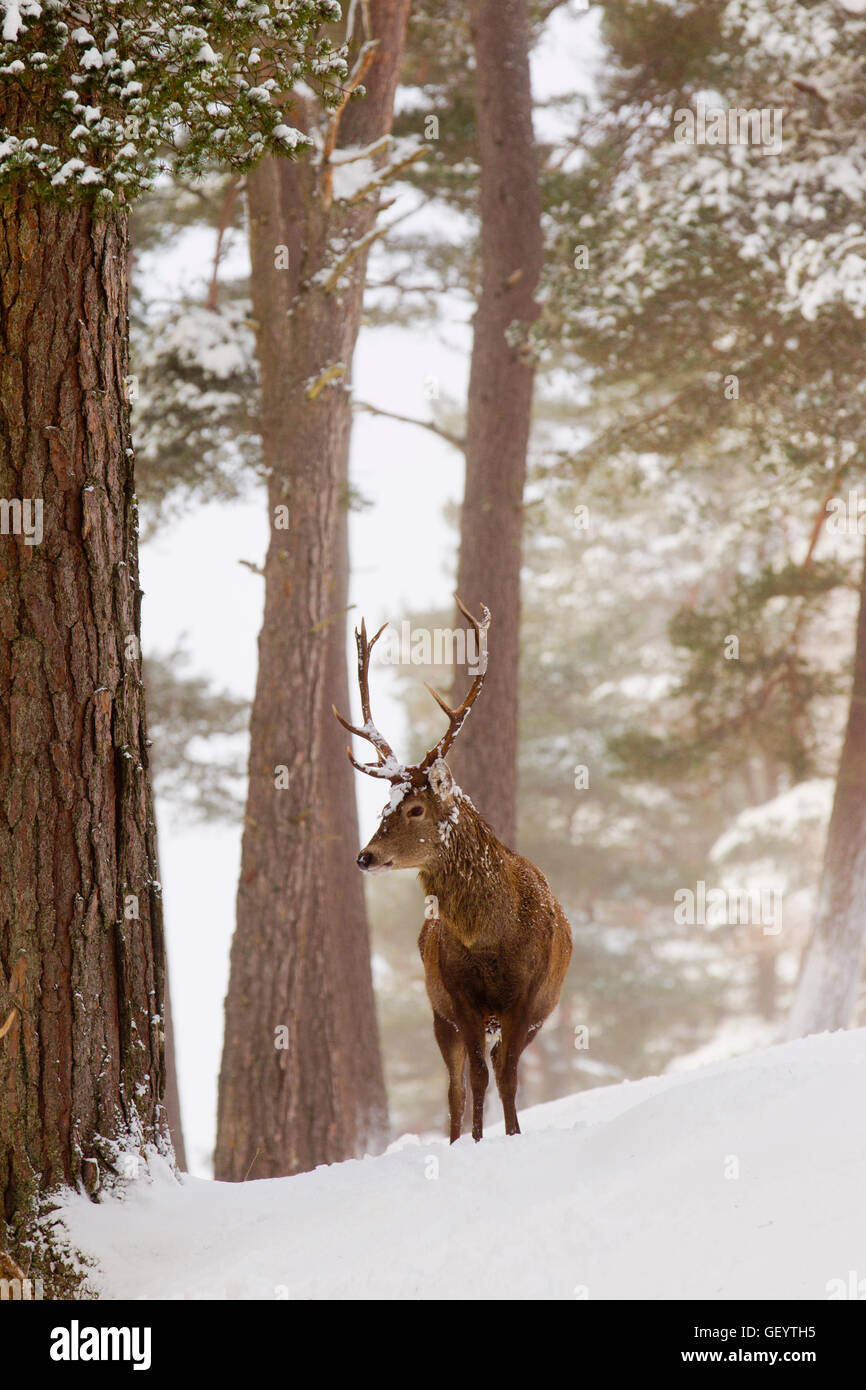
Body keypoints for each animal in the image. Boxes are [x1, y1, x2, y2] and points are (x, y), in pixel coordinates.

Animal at [334, 597, 572, 1143]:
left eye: (415, 808)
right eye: (383, 806)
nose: (364, 857)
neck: (492, 938)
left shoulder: (527, 998)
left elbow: (507, 1074)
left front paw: (512, 1135)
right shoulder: (457, 997)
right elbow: (478, 1078)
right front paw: (480, 1140)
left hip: (534, 1013)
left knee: (499, 1066)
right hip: (438, 1011)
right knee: (456, 1085)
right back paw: (456, 1135)